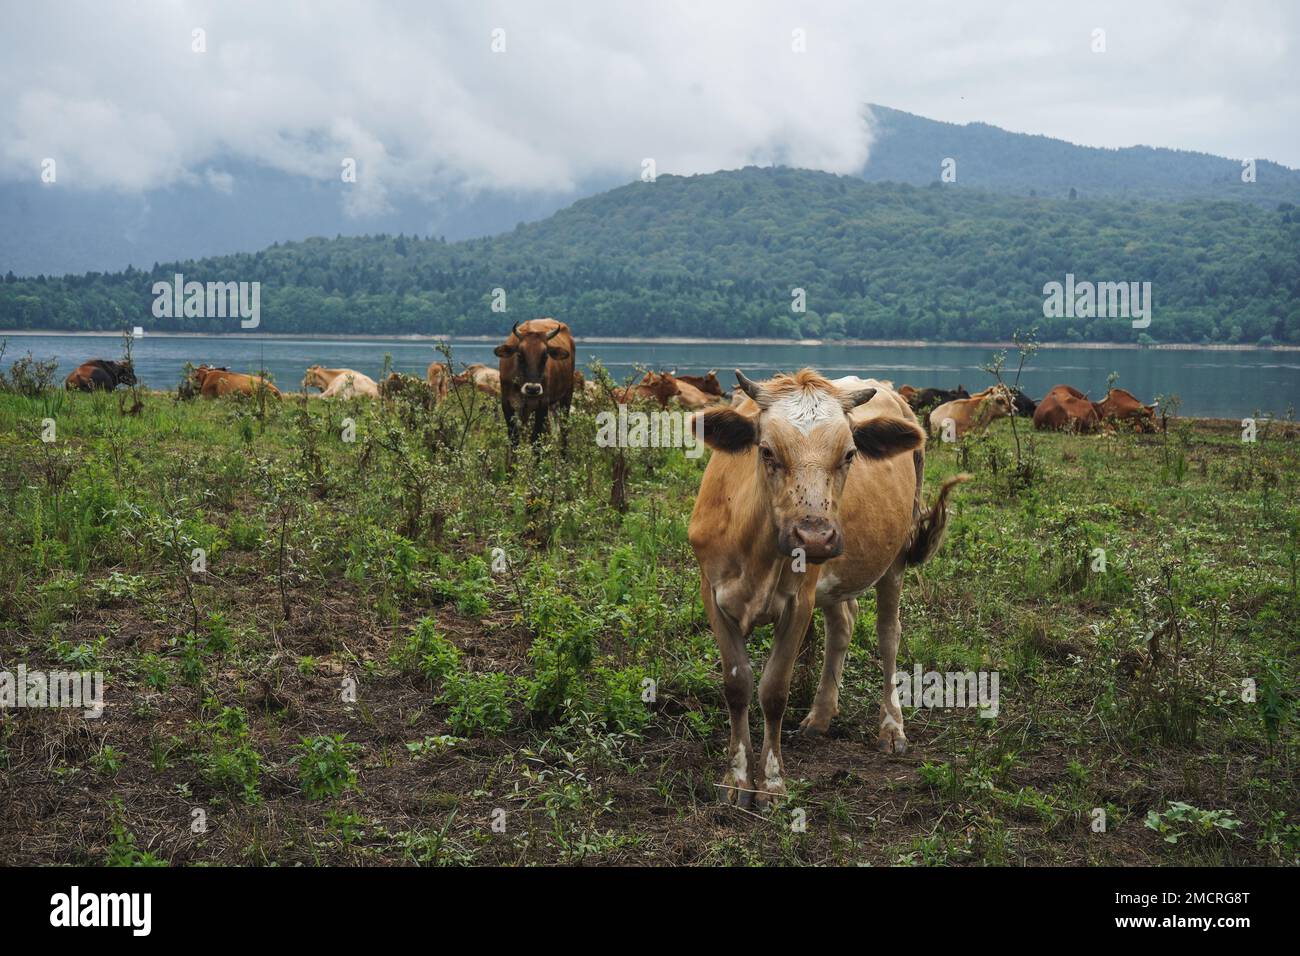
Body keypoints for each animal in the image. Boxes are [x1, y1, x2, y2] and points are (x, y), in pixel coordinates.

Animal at [689, 369, 967, 808]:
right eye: (766, 451)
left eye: (849, 454)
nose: (815, 538)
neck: (755, 550)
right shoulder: (713, 596)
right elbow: (737, 686)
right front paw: (736, 778)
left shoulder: (798, 603)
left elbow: (773, 691)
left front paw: (771, 782)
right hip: (835, 580)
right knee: (843, 626)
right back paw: (820, 716)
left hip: (893, 559)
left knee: (889, 635)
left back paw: (892, 727)